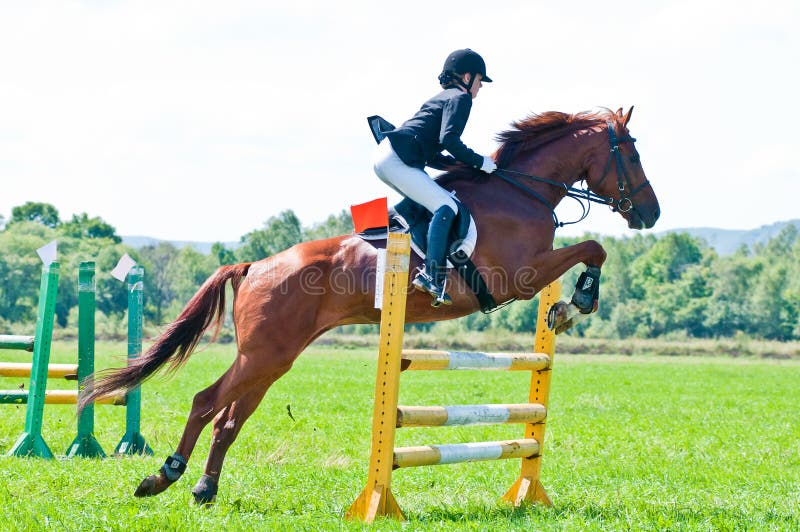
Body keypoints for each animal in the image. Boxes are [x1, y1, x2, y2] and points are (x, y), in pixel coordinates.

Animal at [81, 106, 660, 504]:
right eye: (631, 154)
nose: (651, 214)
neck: (522, 192)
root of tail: (254, 265)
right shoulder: (517, 277)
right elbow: (593, 248)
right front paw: (575, 304)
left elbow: (591, 250)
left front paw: (564, 310)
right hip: (263, 355)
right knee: (206, 402)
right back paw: (162, 476)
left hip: (273, 359)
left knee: (228, 419)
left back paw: (204, 488)